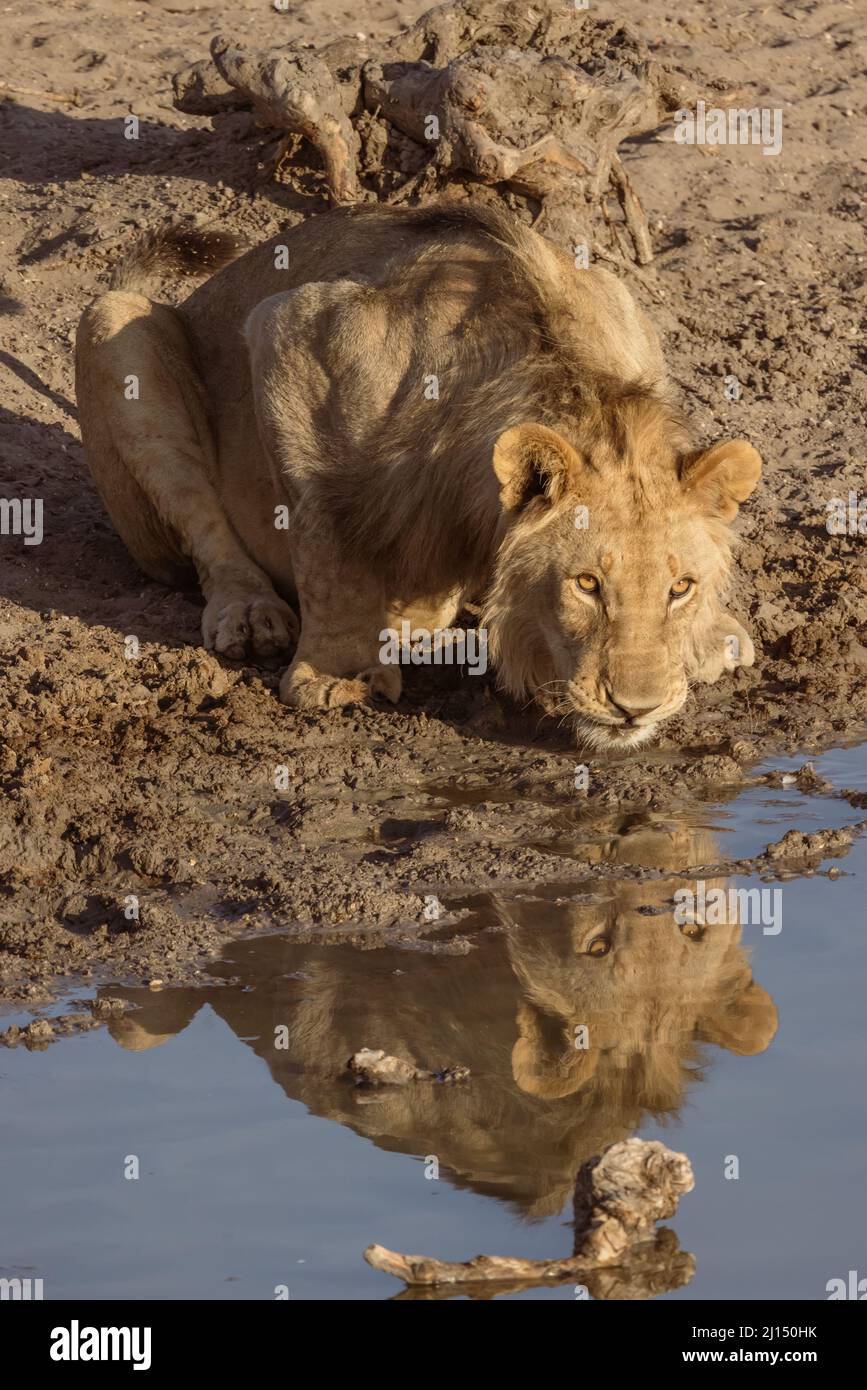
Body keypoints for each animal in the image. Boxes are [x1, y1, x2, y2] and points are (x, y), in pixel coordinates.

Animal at [75, 203, 761, 747]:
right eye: (587, 584)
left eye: (682, 587)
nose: (635, 709)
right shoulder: (290, 332)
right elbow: (326, 540)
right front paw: (339, 675)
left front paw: (711, 637)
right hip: (115, 322)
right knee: (204, 531)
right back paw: (252, 612)